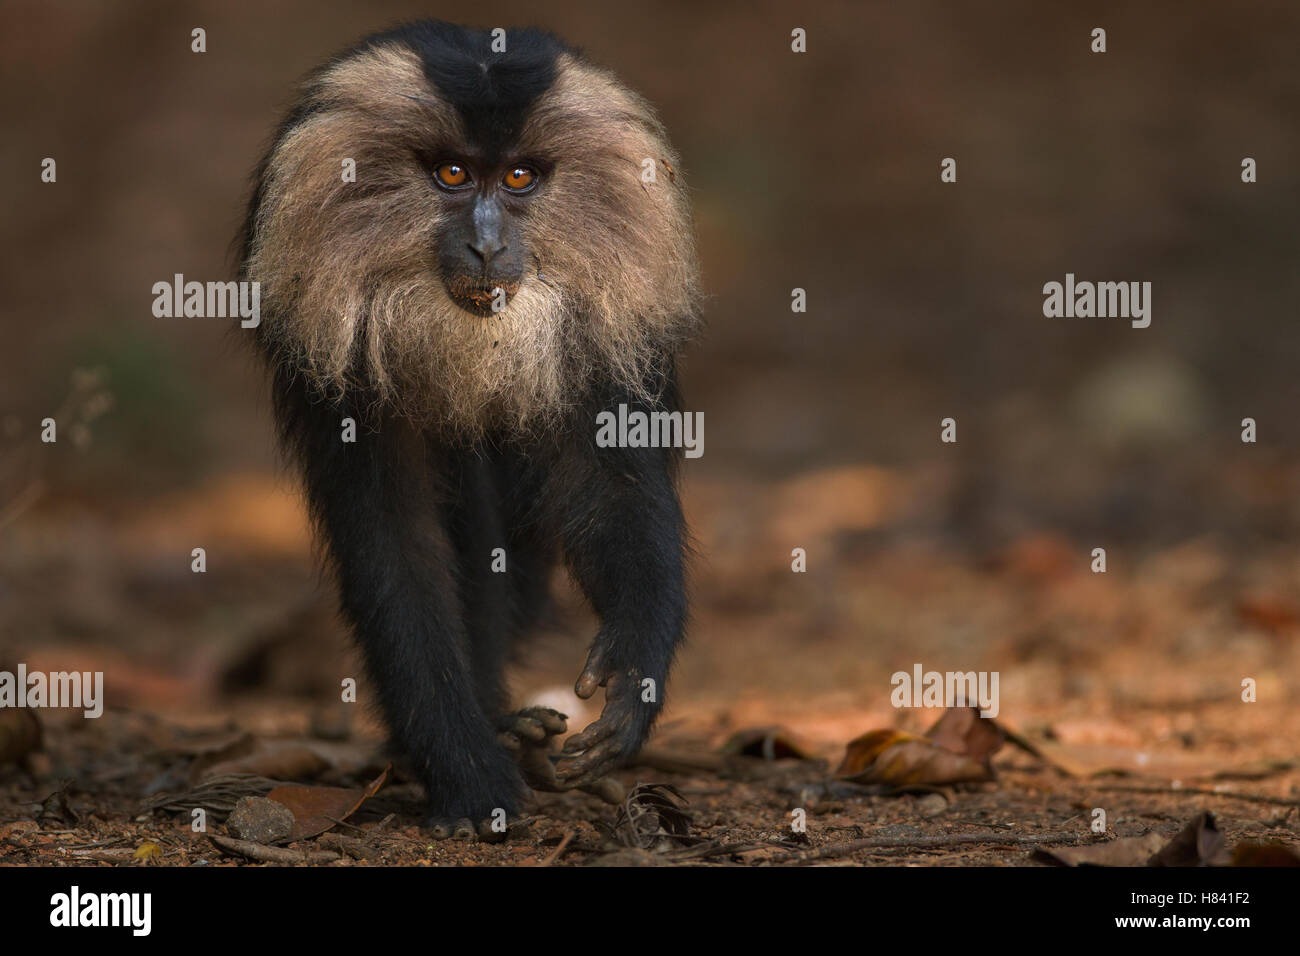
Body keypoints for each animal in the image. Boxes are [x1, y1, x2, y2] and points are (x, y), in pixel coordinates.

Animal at [237, 21, 700, 837]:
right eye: (453, 173)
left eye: (518, 179)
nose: (487, 244)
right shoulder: (344, 369)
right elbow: (398, 546)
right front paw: (468, 775)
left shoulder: (605, 338)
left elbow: (609, 491)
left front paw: (631, 676)